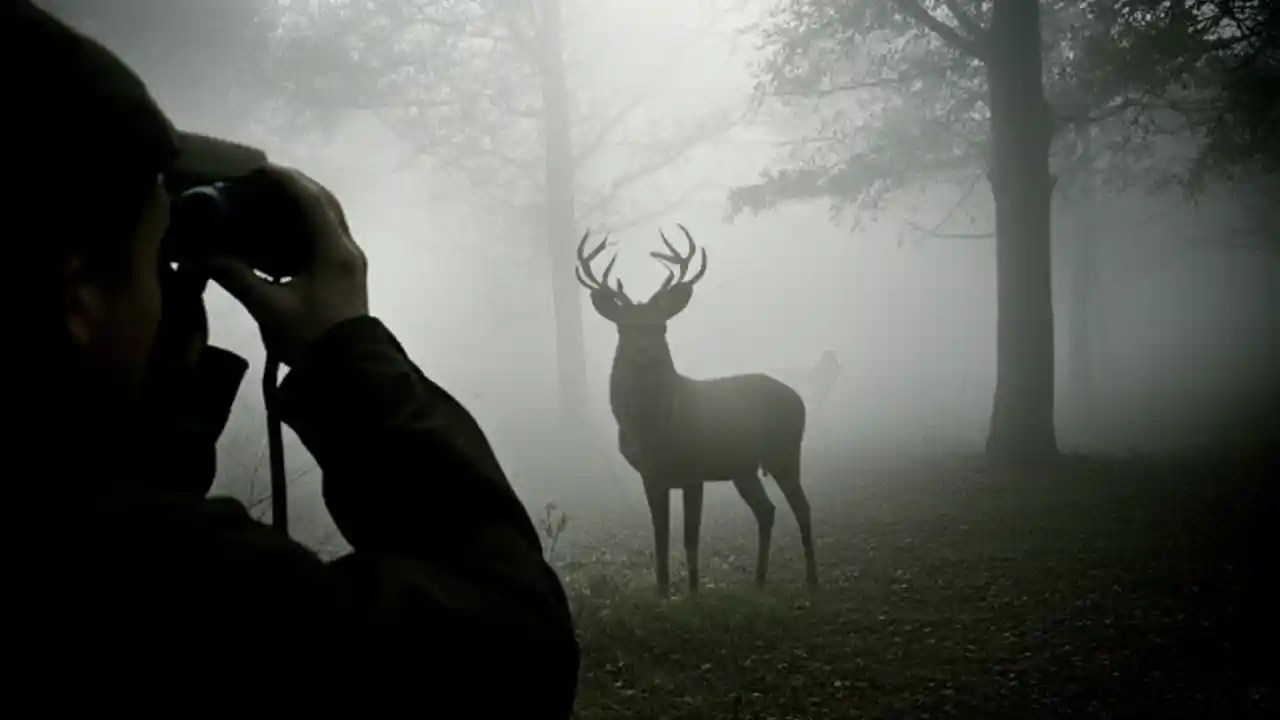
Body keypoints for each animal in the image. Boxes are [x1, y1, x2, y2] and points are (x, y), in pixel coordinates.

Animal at [574, 225, 818, 597]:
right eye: (623, 327)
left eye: (661, 326)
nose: (644, 353)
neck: (654, 428)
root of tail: (799, 399)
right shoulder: (651, 476)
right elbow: (661, 535)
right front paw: (663, 592)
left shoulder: (693, 470)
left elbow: (691, 537)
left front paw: (692, 594)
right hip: (744, 468)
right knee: (767, 510)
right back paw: (759, 580)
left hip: (784, 451)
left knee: (802, 507)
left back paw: (812, 580)